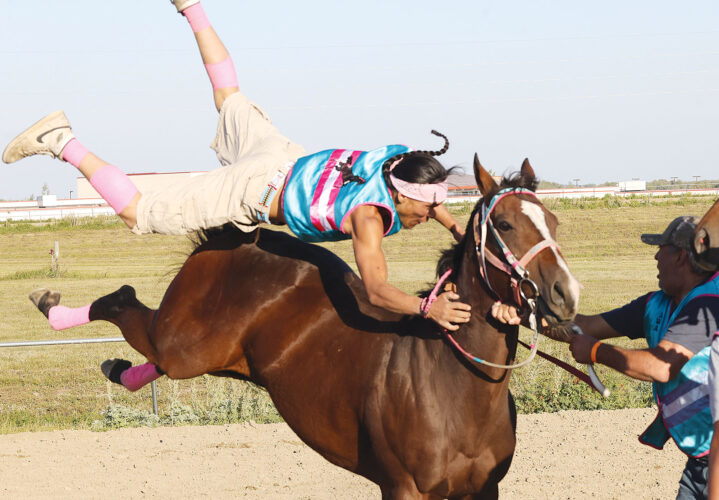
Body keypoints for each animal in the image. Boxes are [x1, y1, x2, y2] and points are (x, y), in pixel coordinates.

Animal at [33, 157, 579, 499]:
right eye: (504, 225)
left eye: (553, 219)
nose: (565, 294)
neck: (454, 383)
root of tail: (230, 236)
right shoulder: (404, 488)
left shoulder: (484, 488)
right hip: (184, 344)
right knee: (126, 303)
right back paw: (56, 306)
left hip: (211, 355)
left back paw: (117, 366)